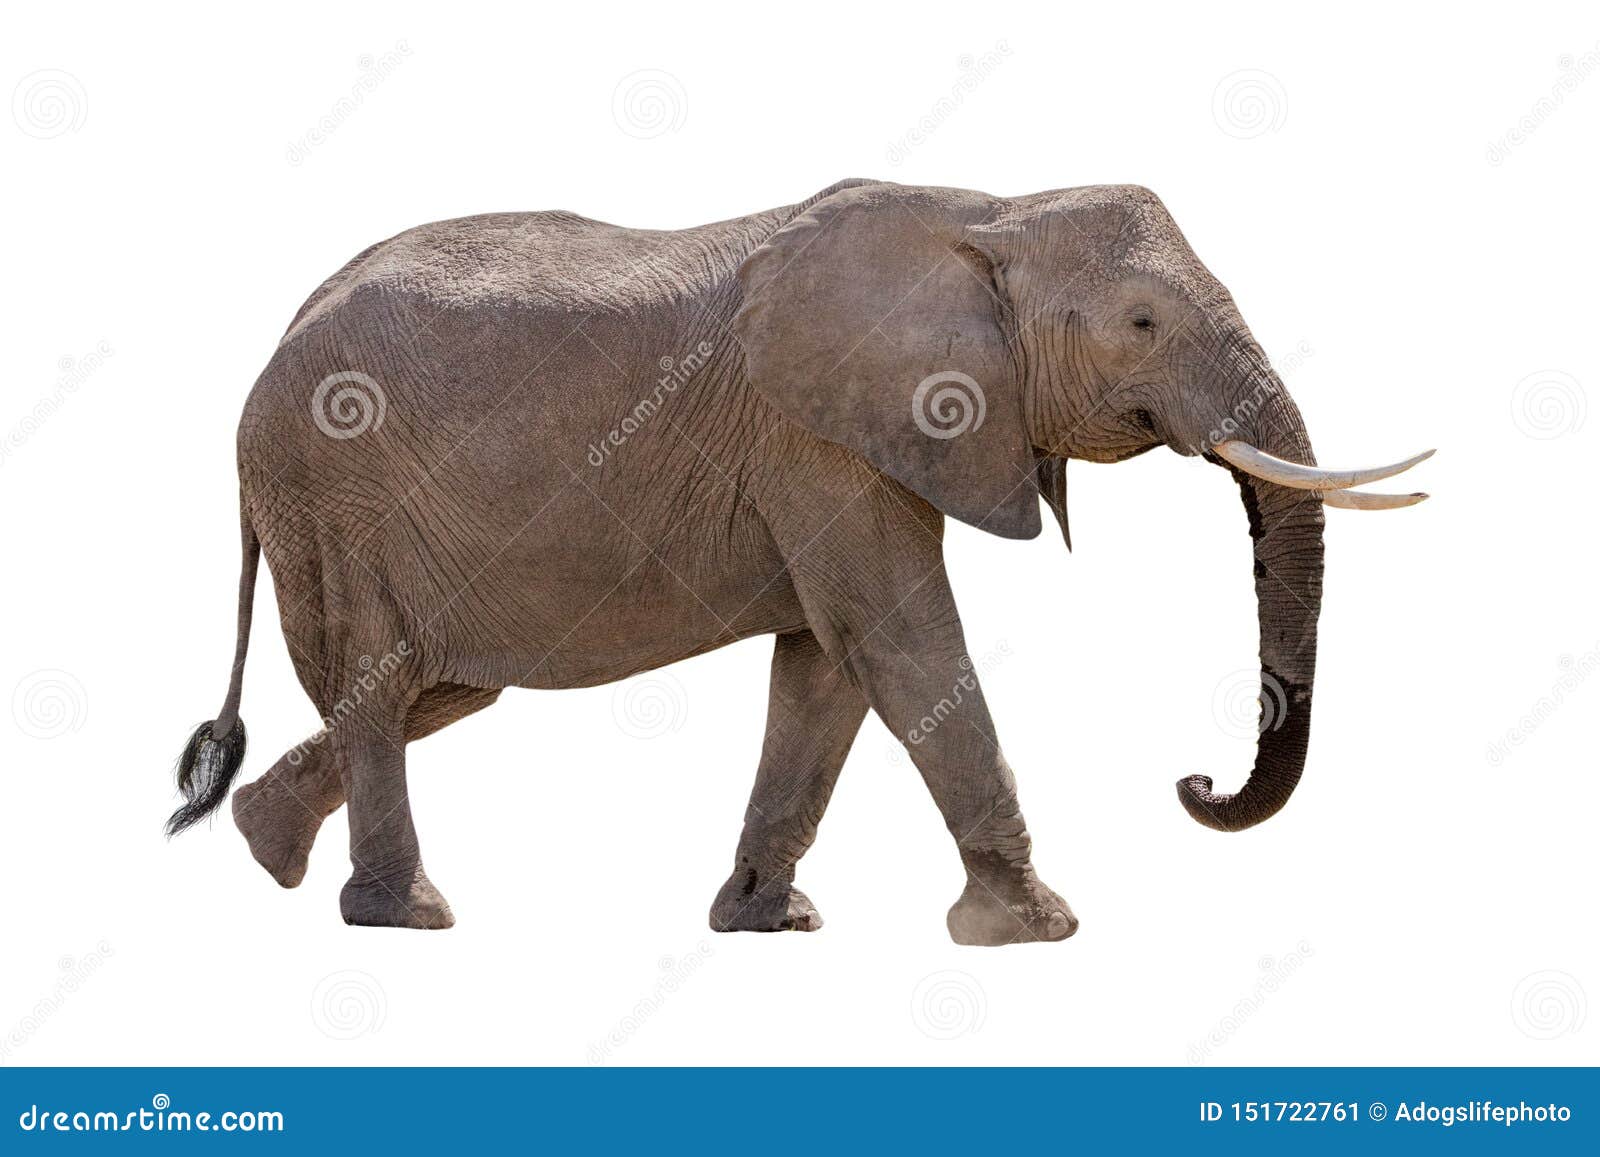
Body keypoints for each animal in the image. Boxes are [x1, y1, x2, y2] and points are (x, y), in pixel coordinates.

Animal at [168, 179, 1430, 944]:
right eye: (1140, 326)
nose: (1195, 783)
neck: (992, 213)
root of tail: (271, 345)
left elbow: (827, 669)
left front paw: (767, 921)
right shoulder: (820, 438)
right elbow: (901, 642)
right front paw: (1034, 928)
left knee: (432, 687)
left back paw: (269, 849)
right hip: (331, 492)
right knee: (384, 681)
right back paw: (408, 915)